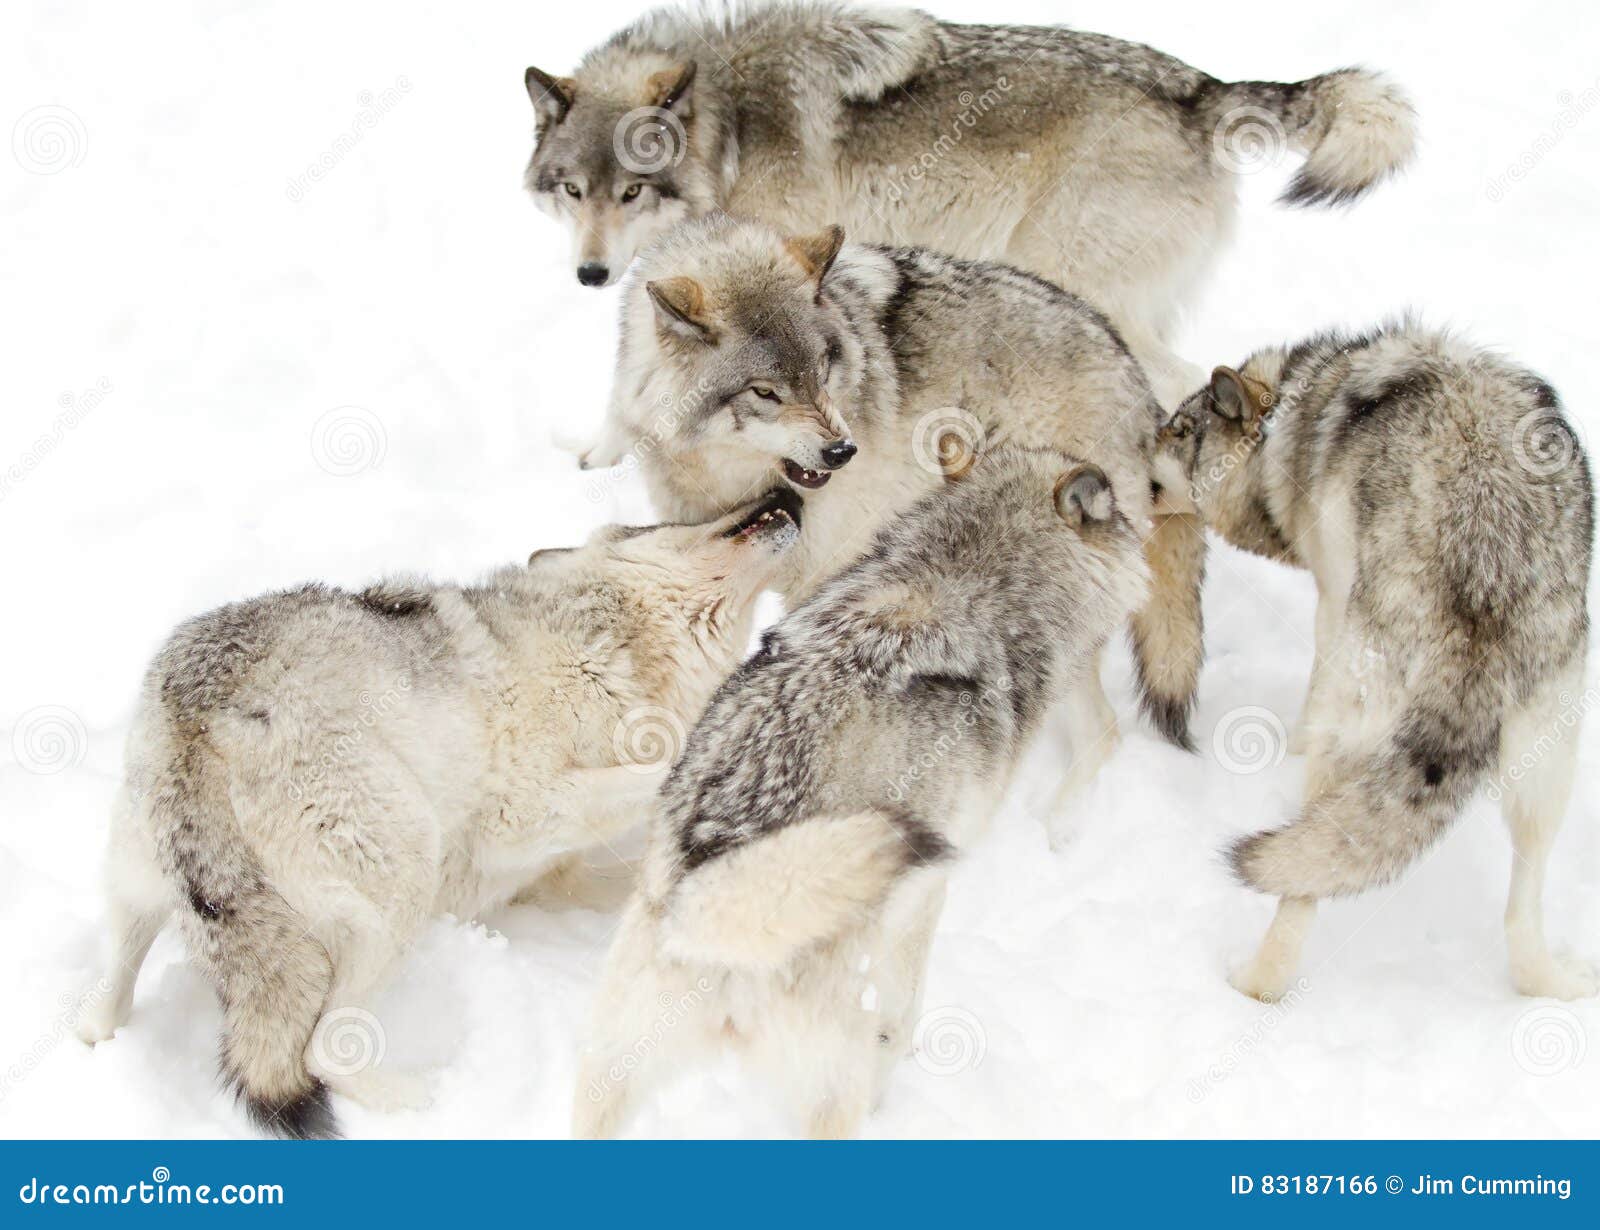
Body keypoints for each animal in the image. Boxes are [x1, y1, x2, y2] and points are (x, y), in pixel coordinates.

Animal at [73, 490, 803, 1137]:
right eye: (659, 523)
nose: (789, 492)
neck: (611, 647)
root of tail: (196, 713)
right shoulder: (524, 809)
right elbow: (663, 765)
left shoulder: (549, 875)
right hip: (405, 872)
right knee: (322, 1050)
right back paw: (414, 1100)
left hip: (139, 895)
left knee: (106, 1000)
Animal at [571, 446, 1149, 1138]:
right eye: (1120, 511)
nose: (1149, 526)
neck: (976, 582)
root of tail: (700, 906)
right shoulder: (927, 894)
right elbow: (901, 1014)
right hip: (826, 1085)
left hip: (606, 1084)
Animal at [588, 213, 1208, 800]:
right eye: (765, 392)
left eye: (823, 367)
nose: (842, 451)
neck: (735, 477)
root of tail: (1138, 384)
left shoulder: (825, 581)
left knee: (1103, 732)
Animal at [1153, 322, 1595, 1001]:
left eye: (1177, 432)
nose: (1130, 444)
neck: (1290, 416)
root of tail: (1486, 565)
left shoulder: (1333, 603)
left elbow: (1309, 701)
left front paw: (1288, 750)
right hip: (1548, 773)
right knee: (1522, 913)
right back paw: (1553, 983)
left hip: (1361, 725)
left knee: (1301, 888)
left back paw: (1256, 983)